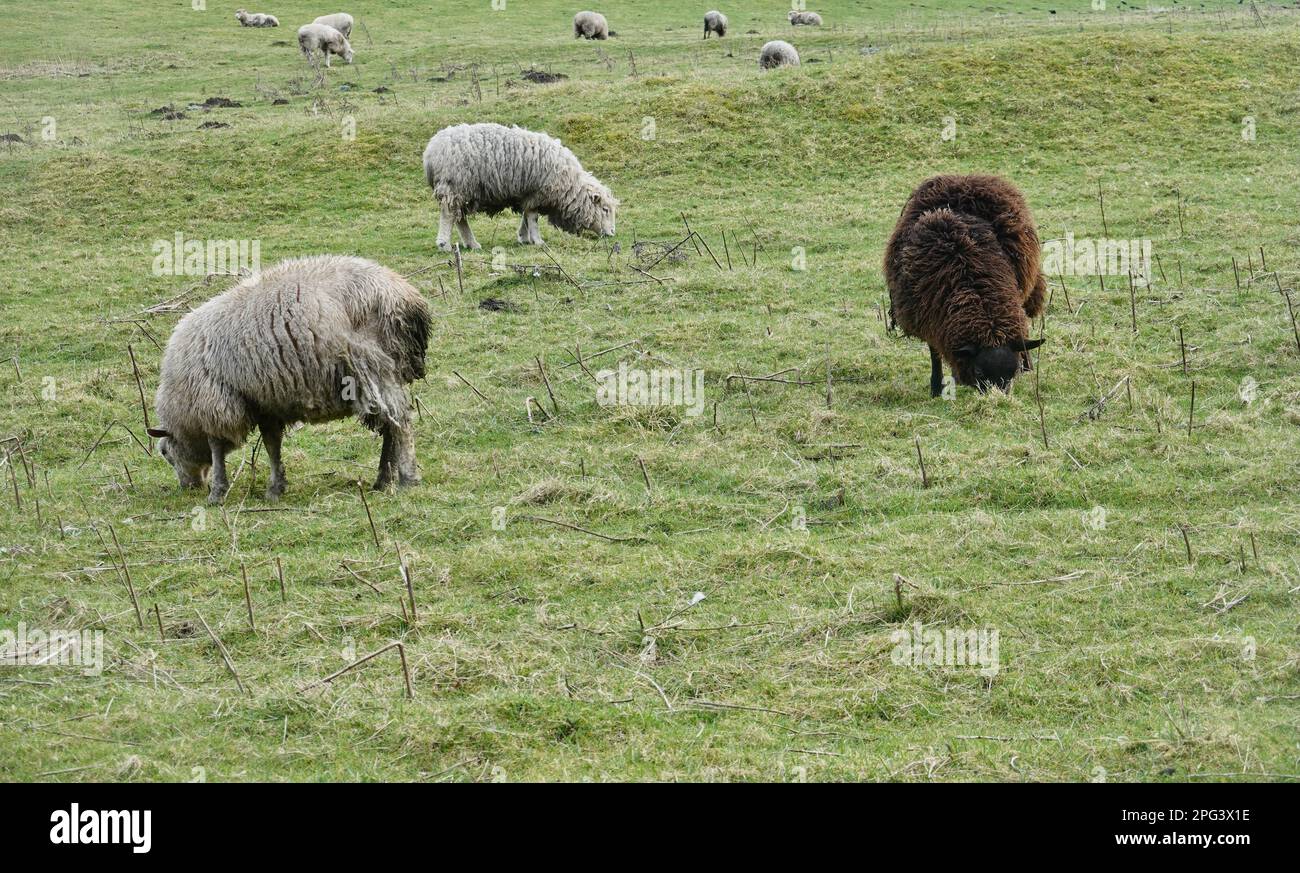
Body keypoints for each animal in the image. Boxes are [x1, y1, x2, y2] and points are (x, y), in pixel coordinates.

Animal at [146, 255, 431, 503]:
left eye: (165, 453)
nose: (188, 487)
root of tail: (402, 295)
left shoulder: (215, 401)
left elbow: (217, 449)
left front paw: (217, 493)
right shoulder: (264, 403)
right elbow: (272, 445)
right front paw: (276, 488)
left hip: (372, 366)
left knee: (401, 423)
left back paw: (408, 479)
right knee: (390, 425)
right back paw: (383, 480)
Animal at [422, 122, 618, 252]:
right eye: (605, 209)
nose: (612, 233)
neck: (569, 183)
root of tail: (430, 151)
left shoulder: (527, 194)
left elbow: (526, 215)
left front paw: (524, 237)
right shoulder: (537, 193)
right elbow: (532, 217)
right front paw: (537, 240)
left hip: (463, 192)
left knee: (460, 218)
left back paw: (472, 244)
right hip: (454, 186)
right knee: (448, 215)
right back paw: (444, 244)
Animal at [883, 175, 1048, 396]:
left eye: (1012, 372)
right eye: (979, 372)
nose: (998, 400)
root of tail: (965, 177)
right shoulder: (929, 317)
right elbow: (935, 353)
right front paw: (936, 388)